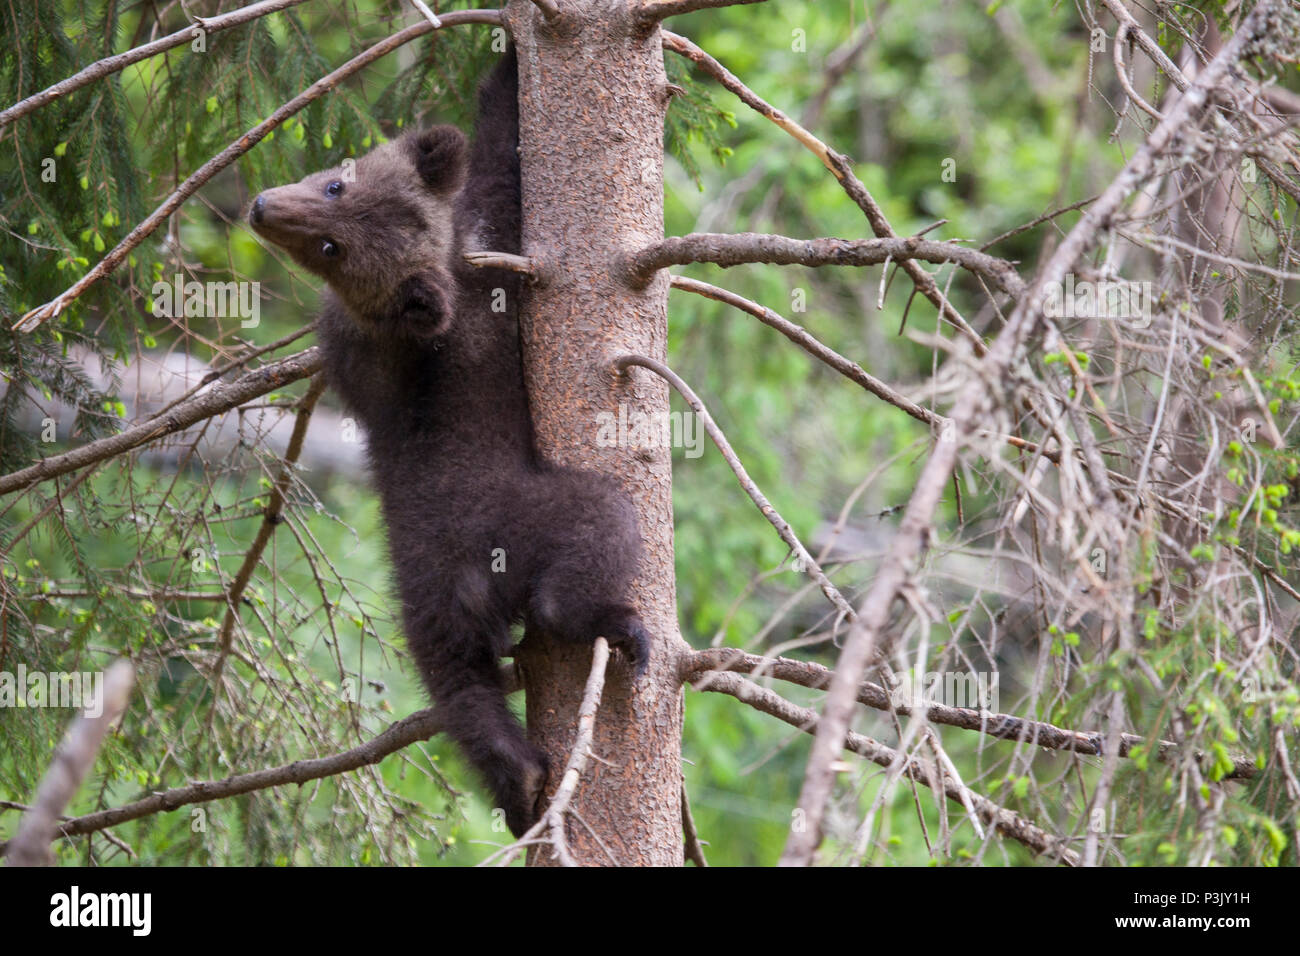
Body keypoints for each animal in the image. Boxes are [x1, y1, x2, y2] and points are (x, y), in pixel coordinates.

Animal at [248, 48, 650, 837]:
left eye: (336, 192)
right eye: (330, 236)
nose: (262, 206)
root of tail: (469, 580)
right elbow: (501, 156)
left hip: (423, 599)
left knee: (458, 689)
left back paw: (519, 779)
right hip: (530, 518)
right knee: (597, 537)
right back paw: (614, 628)